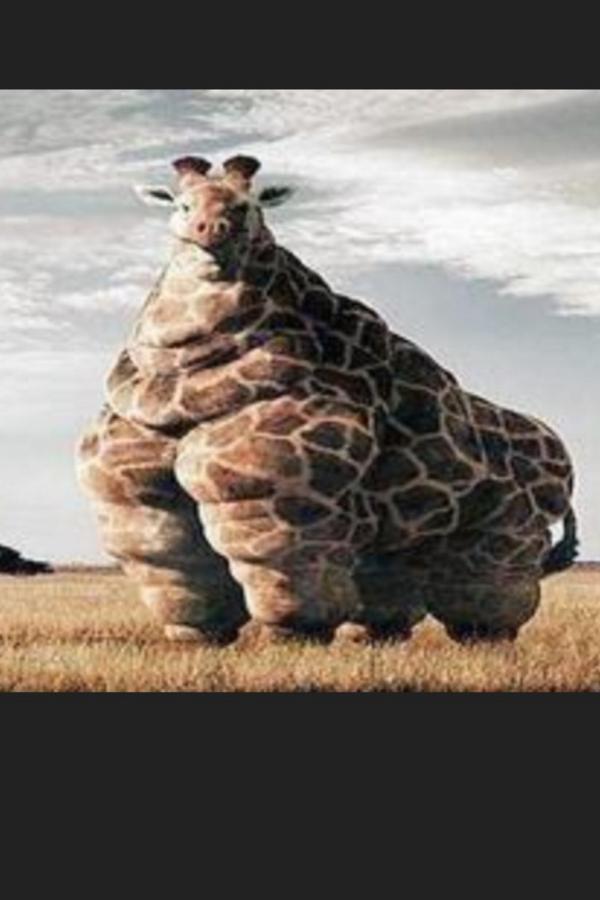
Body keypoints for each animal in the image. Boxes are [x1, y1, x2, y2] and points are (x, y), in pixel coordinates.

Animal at [76, 154, 578, 647]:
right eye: (182, 205)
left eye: (248, 206)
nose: (211, 229)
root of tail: (565, 463)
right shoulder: (133, 497)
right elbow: (179, 572)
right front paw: (196, 638)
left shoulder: (279, 494)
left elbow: (289, 585)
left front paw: (295, 640)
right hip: (414, 537)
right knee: (391, 596)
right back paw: (375, 636)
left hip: (505, 529)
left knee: (490, 597)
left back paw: (484, 636)